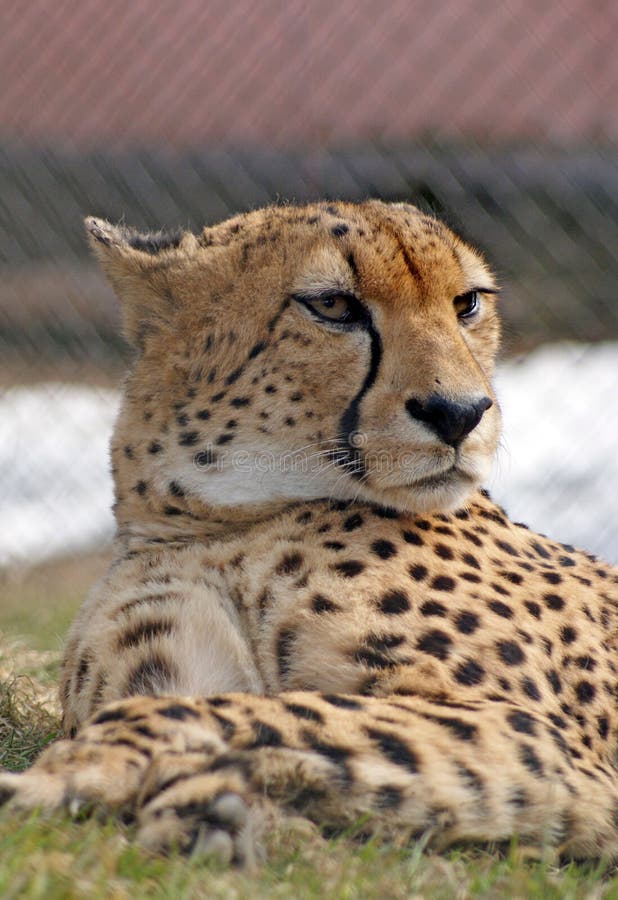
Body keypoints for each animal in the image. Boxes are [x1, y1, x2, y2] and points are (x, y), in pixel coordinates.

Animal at [2, 200, 617, 866]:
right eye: (332, 306)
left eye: (467, 303)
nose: (459, 413)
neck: (219, 522)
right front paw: (230, 811)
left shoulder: (540, 734)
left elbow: (273, 710)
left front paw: (86, 772)